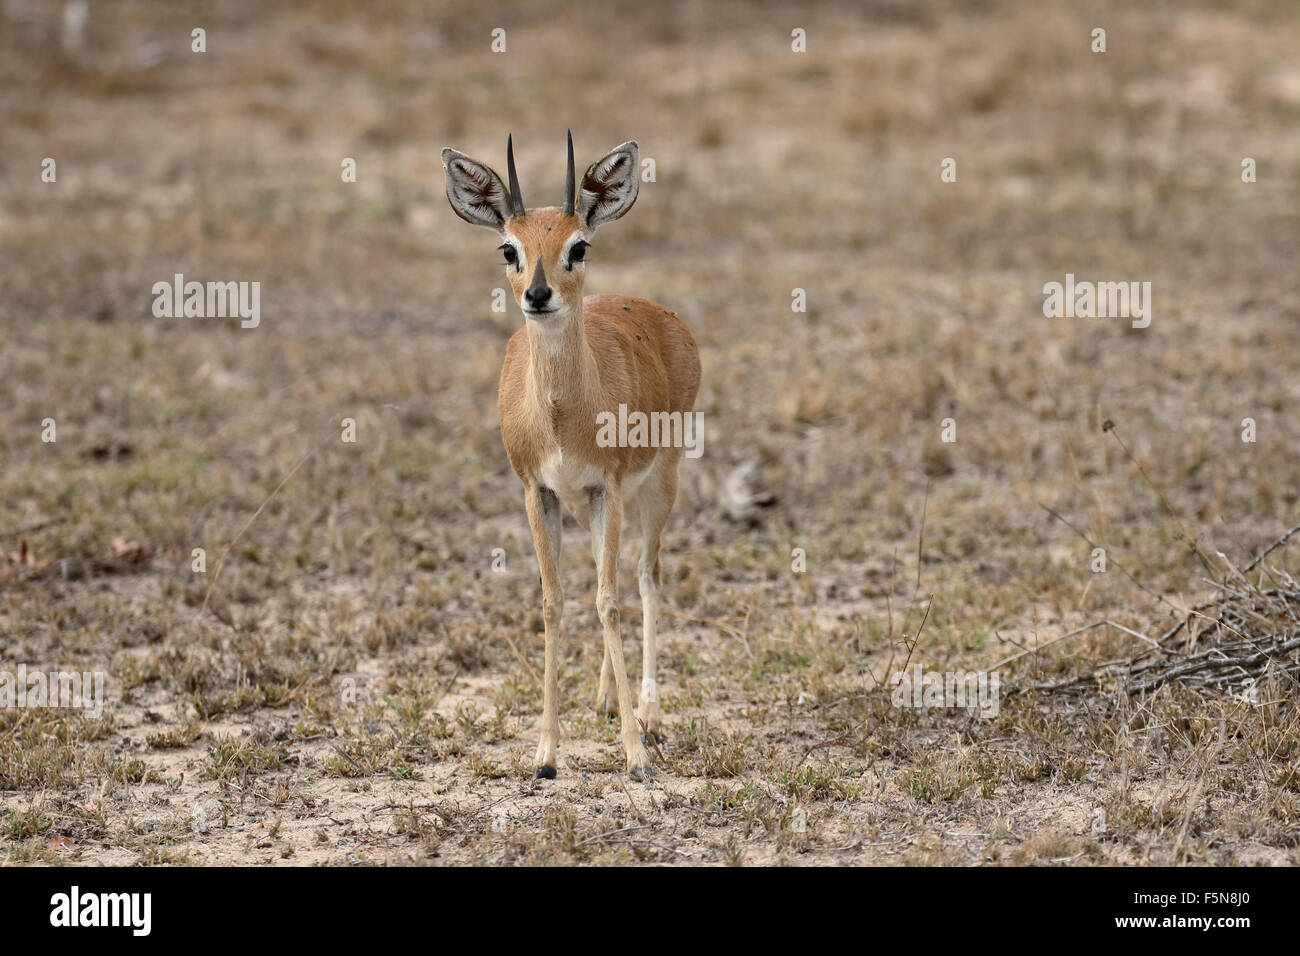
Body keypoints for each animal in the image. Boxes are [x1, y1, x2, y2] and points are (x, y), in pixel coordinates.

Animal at [441, 133, 701, 781]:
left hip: (657, 483)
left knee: (645, 575)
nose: (539, 294)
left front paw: (636, 756)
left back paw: (648, 713)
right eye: (508, 248)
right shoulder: (540, 493)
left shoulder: (607, 485)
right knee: (610, 572)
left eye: (577, 245)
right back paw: (608, 698)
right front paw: (544, 755)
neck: (561, 417)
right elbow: (554, 602)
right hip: (589, 505)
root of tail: (662, 316)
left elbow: (609, 602)